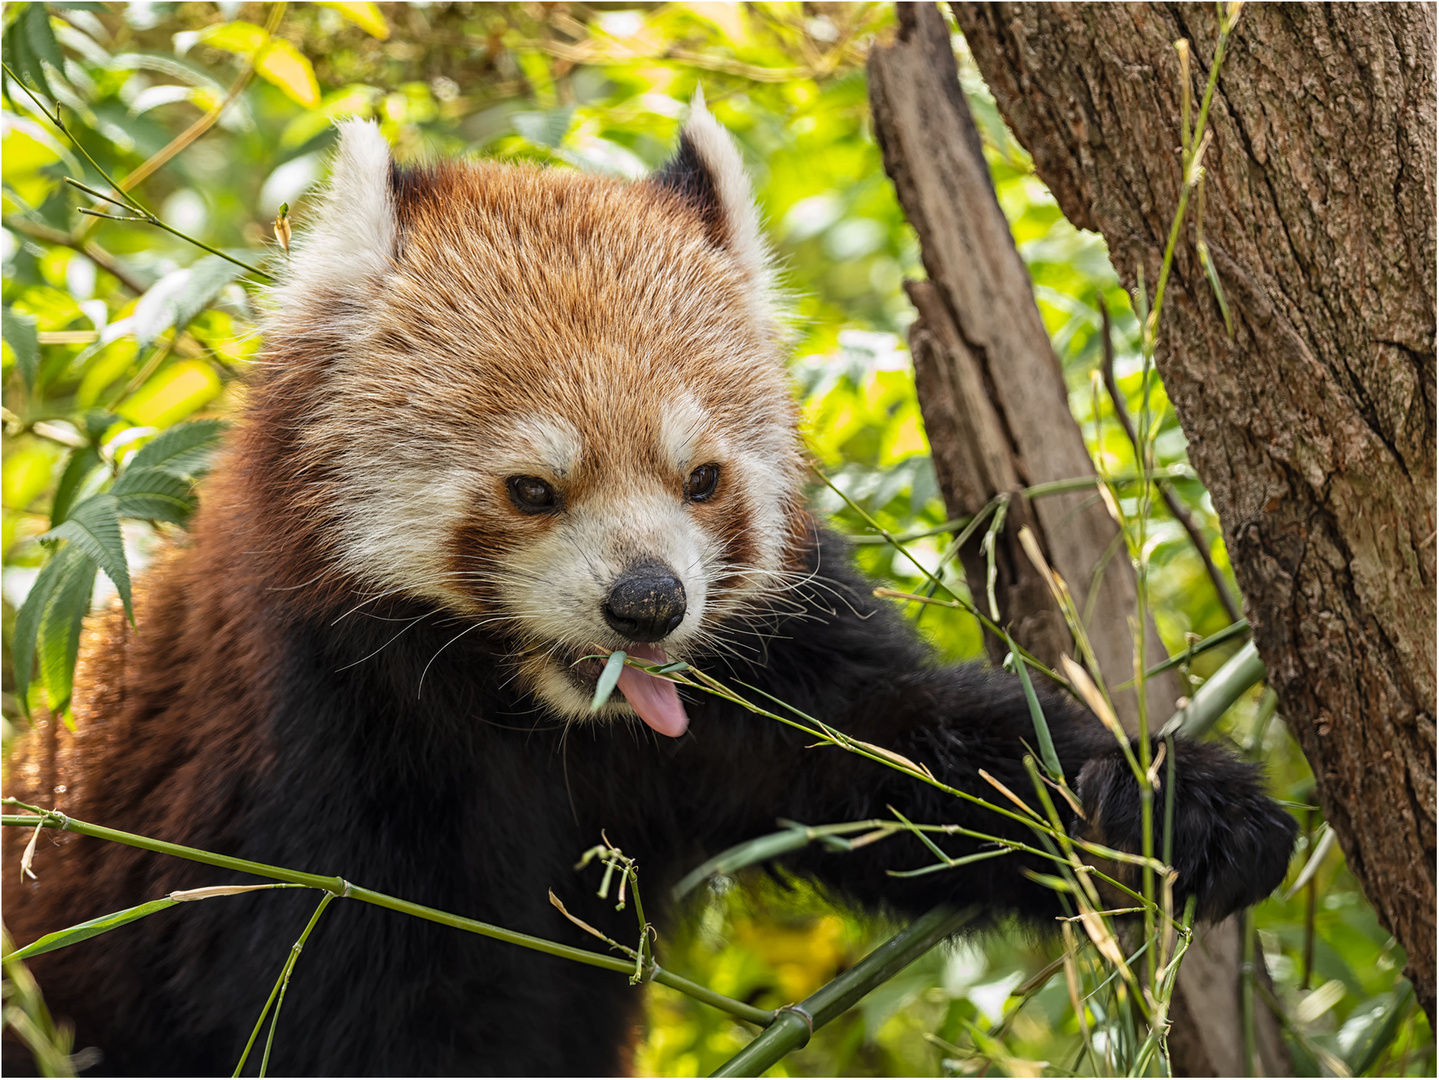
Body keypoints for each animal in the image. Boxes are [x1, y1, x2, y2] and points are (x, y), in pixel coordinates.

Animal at [3, 100, 1297, 1075]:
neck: (533, 720)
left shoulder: (756, 684)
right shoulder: (303, 774)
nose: (646, 603)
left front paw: (1163, 802)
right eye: (533, 489)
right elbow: (369, 1017)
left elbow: (904, 758)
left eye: (701, 478)